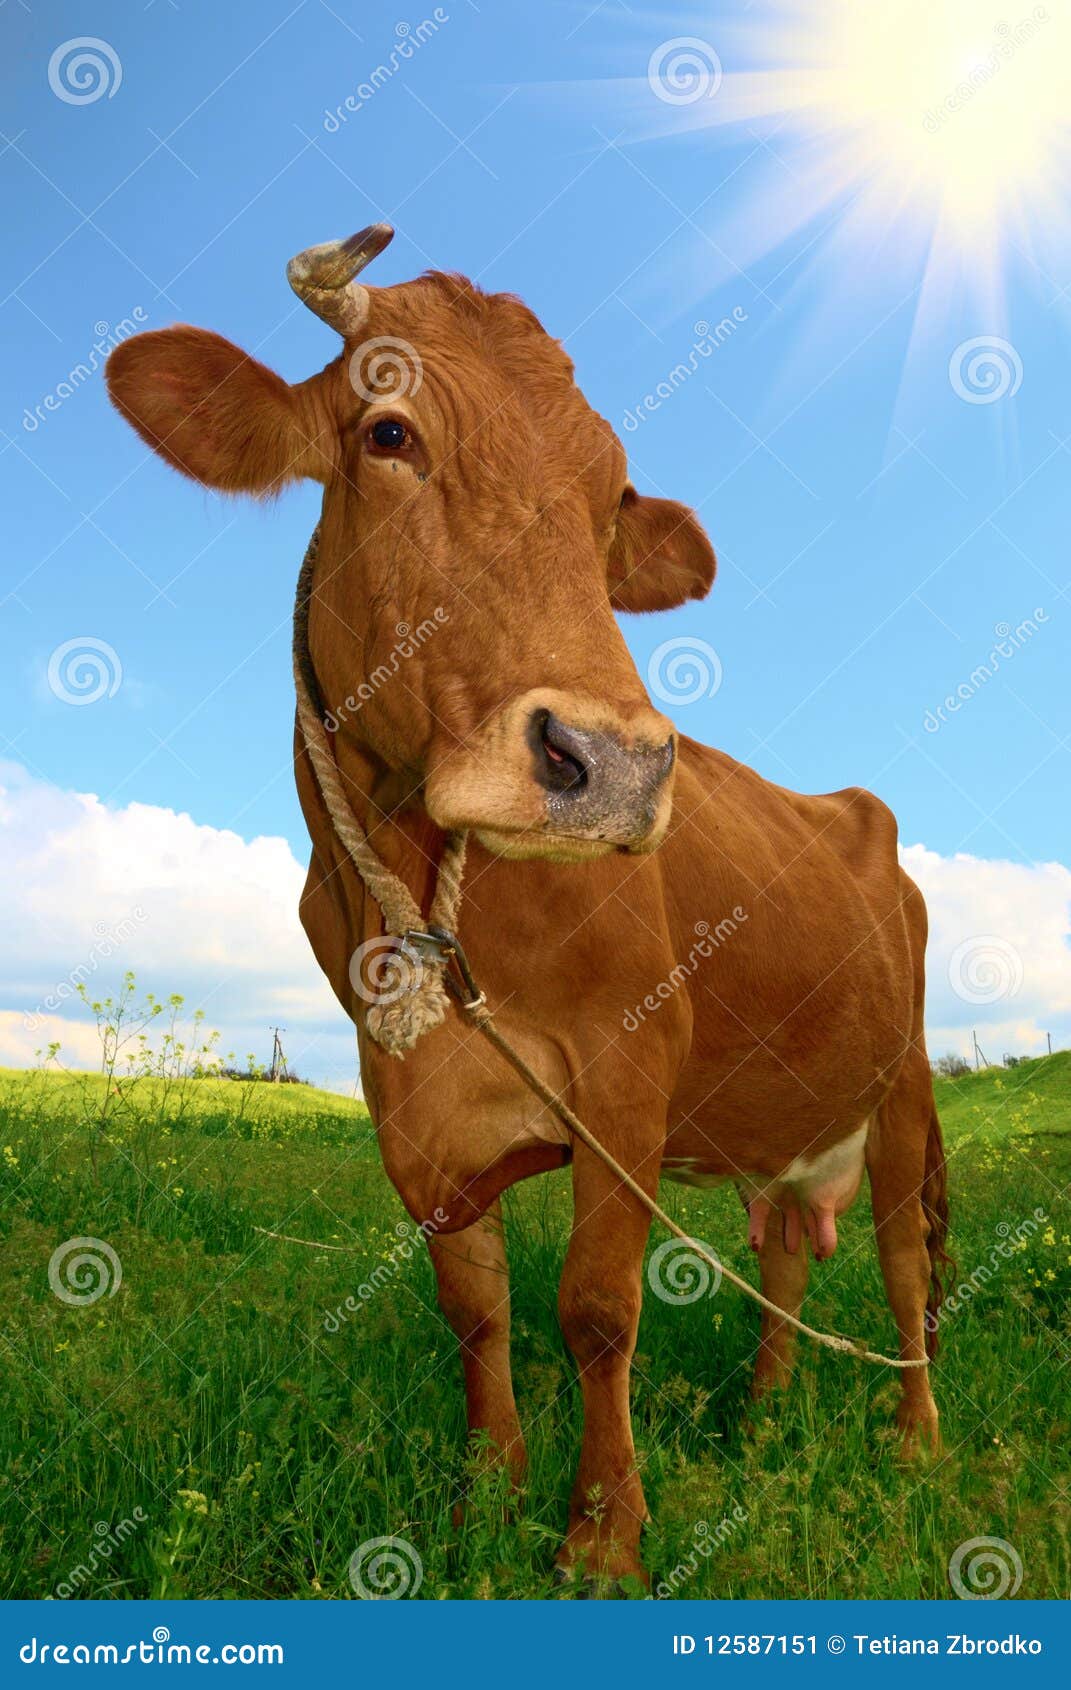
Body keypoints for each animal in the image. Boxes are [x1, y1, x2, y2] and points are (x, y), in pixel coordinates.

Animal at [106, 224, 950, 1592]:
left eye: (610, 503)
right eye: (388, 431)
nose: (614, 762)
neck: (431, 897)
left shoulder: (628, 1071)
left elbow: (597, 1310)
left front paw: (604, 1531)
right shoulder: (408, 1101)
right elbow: (478, 1304)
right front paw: (485, 1496)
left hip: (906, 1086)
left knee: (903, 1261)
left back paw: (917, 1435)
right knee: (781, 1253)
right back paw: (765, 1413)